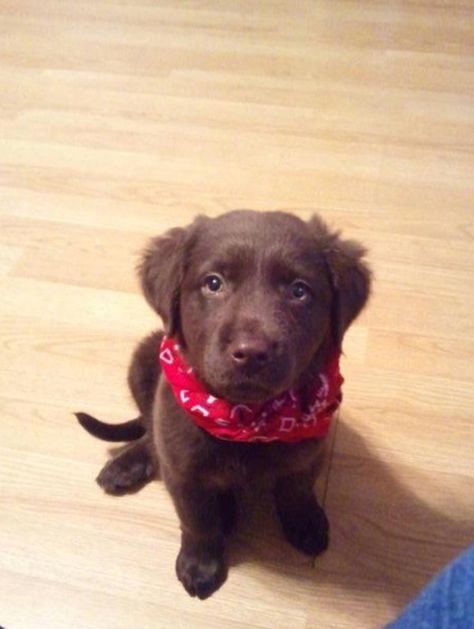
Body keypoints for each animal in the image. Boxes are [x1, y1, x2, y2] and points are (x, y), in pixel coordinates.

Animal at [78, 210, 372, 600]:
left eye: (299, 290)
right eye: (213, 283)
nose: (252, 352)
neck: (251, 420)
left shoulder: (309, 451)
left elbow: (297, 490)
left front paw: (307, 524)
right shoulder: (184, 471)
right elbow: (197, 519)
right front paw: (200, 564)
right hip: (143, 361)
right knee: (149, 430)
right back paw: (128, 465)